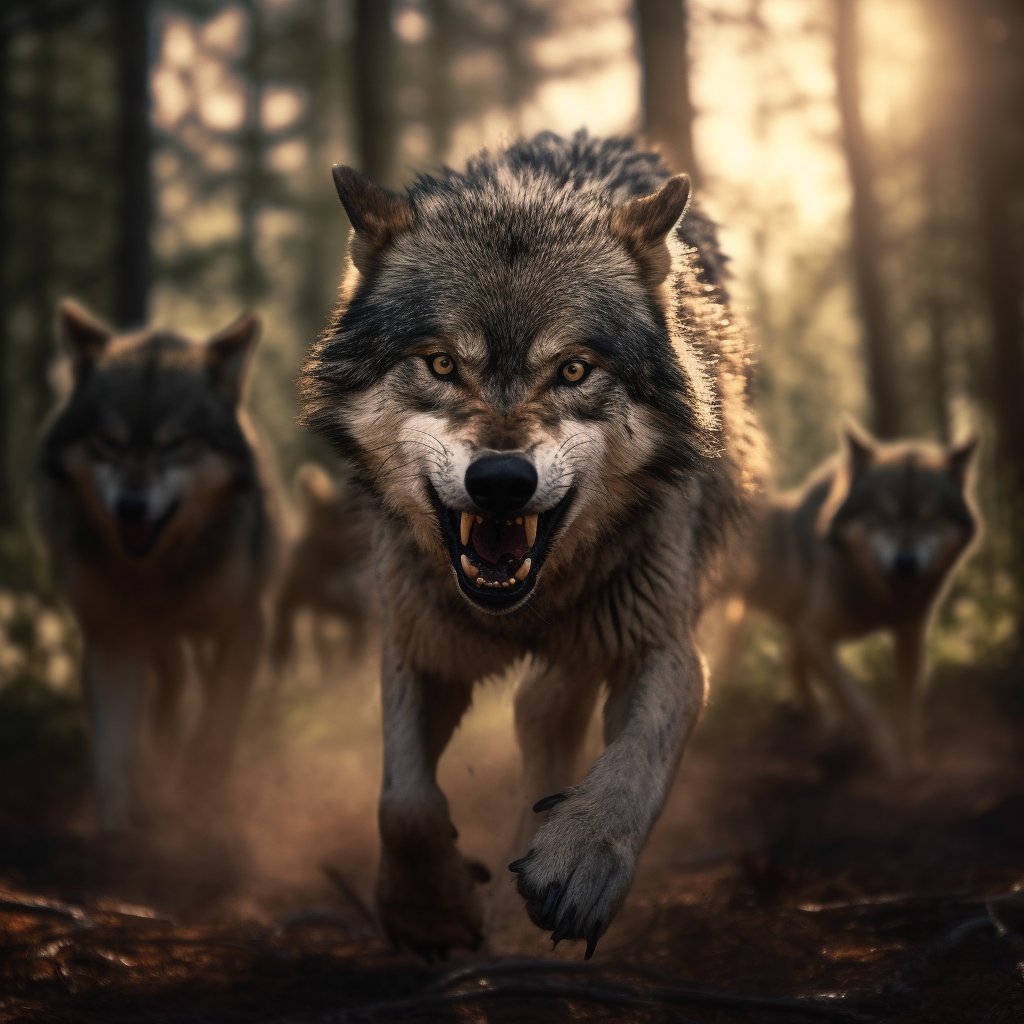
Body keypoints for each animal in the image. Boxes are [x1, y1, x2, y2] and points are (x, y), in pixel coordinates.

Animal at [35, 301, 276, 839]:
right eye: (109, 442)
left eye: (174, 445)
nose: (131, 507)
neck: (158, 573)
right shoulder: (113, 638)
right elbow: (115, 745)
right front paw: (119, 823)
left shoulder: (243, 628)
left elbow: (216, 726)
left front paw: (198, 799)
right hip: (156, 643)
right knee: (170, 683)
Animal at [299, 131, 762, 957]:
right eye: (441, 363)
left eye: (574, 369)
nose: (502, 481)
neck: (519, 611)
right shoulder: (417, 642)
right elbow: (404, 800)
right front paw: (431, 909)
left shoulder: (664, 643)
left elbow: (635, 763)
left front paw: (582, 860)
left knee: (547, 712)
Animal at [737, 425, 978, 774]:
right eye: (882, 516)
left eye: (928, 518)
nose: (906, 563)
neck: (877, 599)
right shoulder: (815, 634)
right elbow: (859, 704)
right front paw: (891, 763)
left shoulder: (910, 634)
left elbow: (907, 706)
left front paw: (913, 761)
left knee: (792, 664)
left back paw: (822, 728)